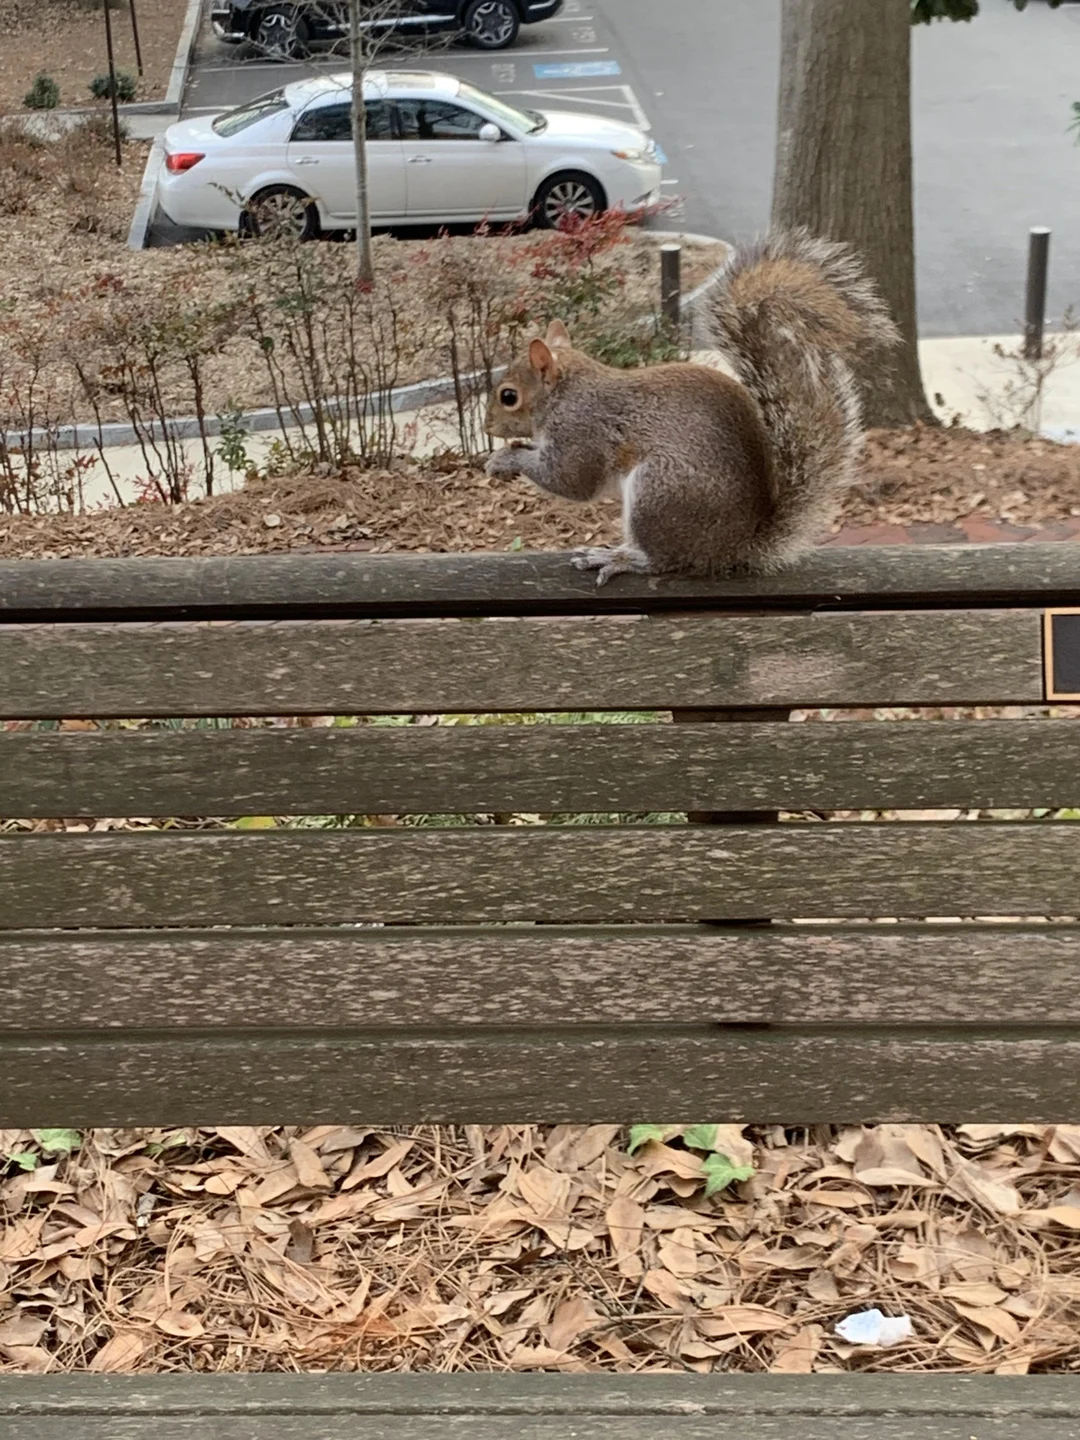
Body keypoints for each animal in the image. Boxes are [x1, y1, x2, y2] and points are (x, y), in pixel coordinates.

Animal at [483, 228, 899, 585]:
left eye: (508, 396)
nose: (487, 427)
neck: (564, 393)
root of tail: (734, 548)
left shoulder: (581, 430)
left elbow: (570, 480)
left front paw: (505, 459)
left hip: (659, 490)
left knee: (665, 561)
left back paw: (620, 559)